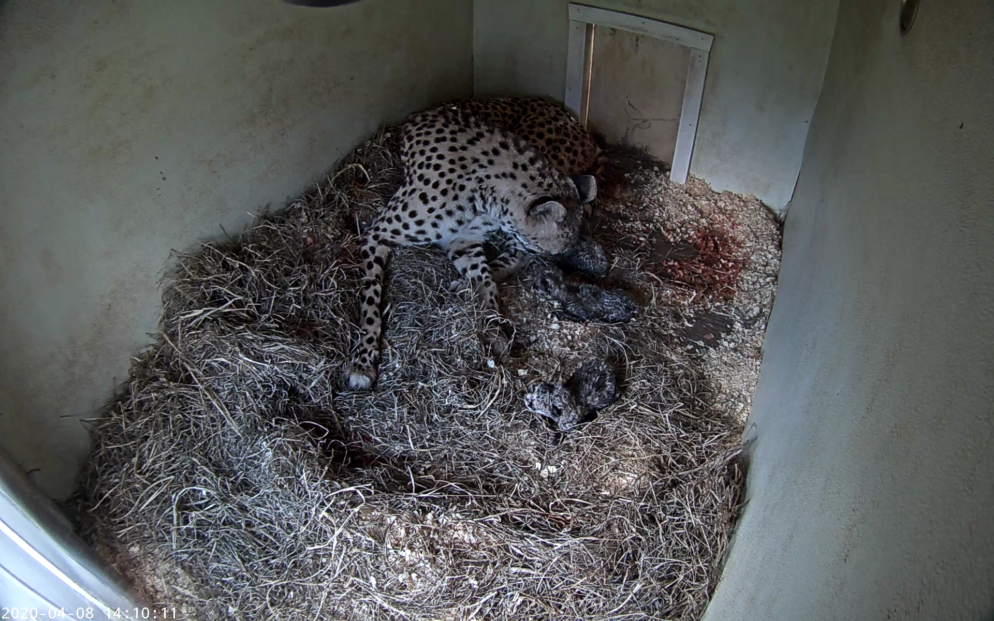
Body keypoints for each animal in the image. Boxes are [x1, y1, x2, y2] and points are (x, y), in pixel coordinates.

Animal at [347, 99, 598, 390]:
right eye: (552, 251)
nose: (558, 272)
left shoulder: (463, 241)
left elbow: (487, 282)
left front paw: (493, 328)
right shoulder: (378, 234)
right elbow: (370, 299)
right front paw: (362, 361)